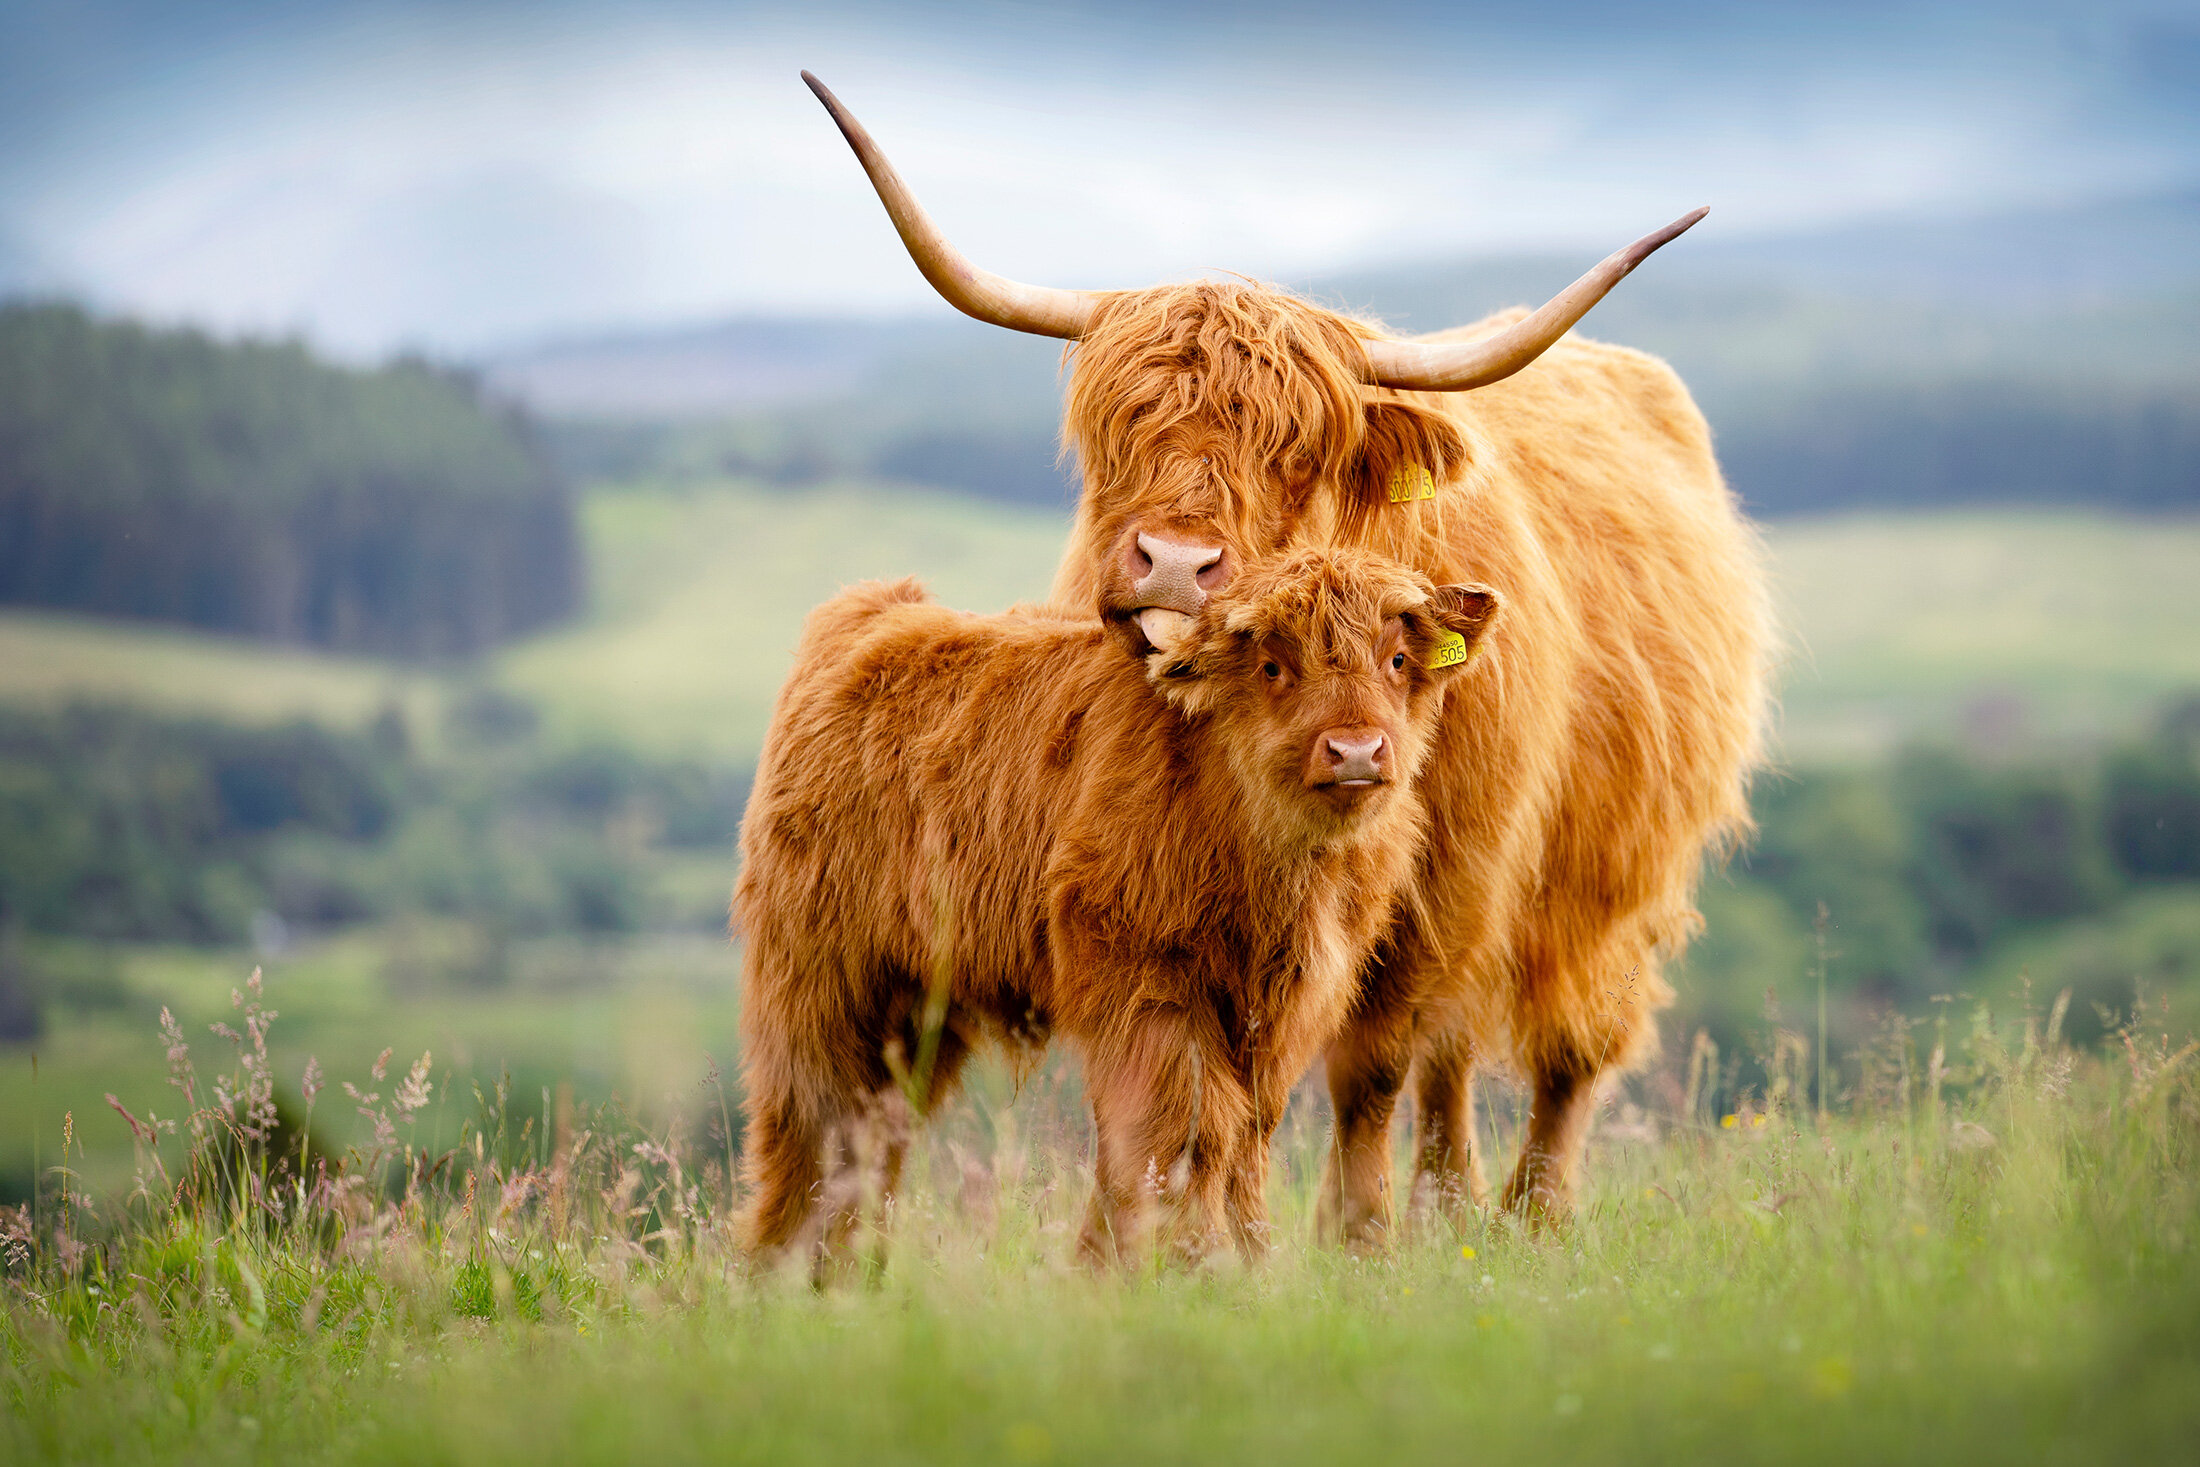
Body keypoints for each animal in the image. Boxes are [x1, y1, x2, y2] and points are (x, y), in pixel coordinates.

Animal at [734, 548, 1499, 1270]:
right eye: (1273, 667)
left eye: (1397, 659)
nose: (1356, 749)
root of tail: (876, 610)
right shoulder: (1146, 980)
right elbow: (1187, 1125)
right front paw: (1189, 1264)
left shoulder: (1282, 1007)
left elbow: (1247, 1130)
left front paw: (1243, 1259)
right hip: (822, 983)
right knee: (814, 1123)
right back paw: (781, 1275)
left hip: (918, 1004)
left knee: (873, 1135)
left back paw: (844, 1278)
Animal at [802, 74, 1774, 1233]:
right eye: (1118, 431)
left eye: (1296, 451)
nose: (1176, 563)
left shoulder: (1448, 871)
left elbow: (1375, 1061)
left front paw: (1357, 1237)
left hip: (1613, 877)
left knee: (1561, 1051)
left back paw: (1523, 1213)